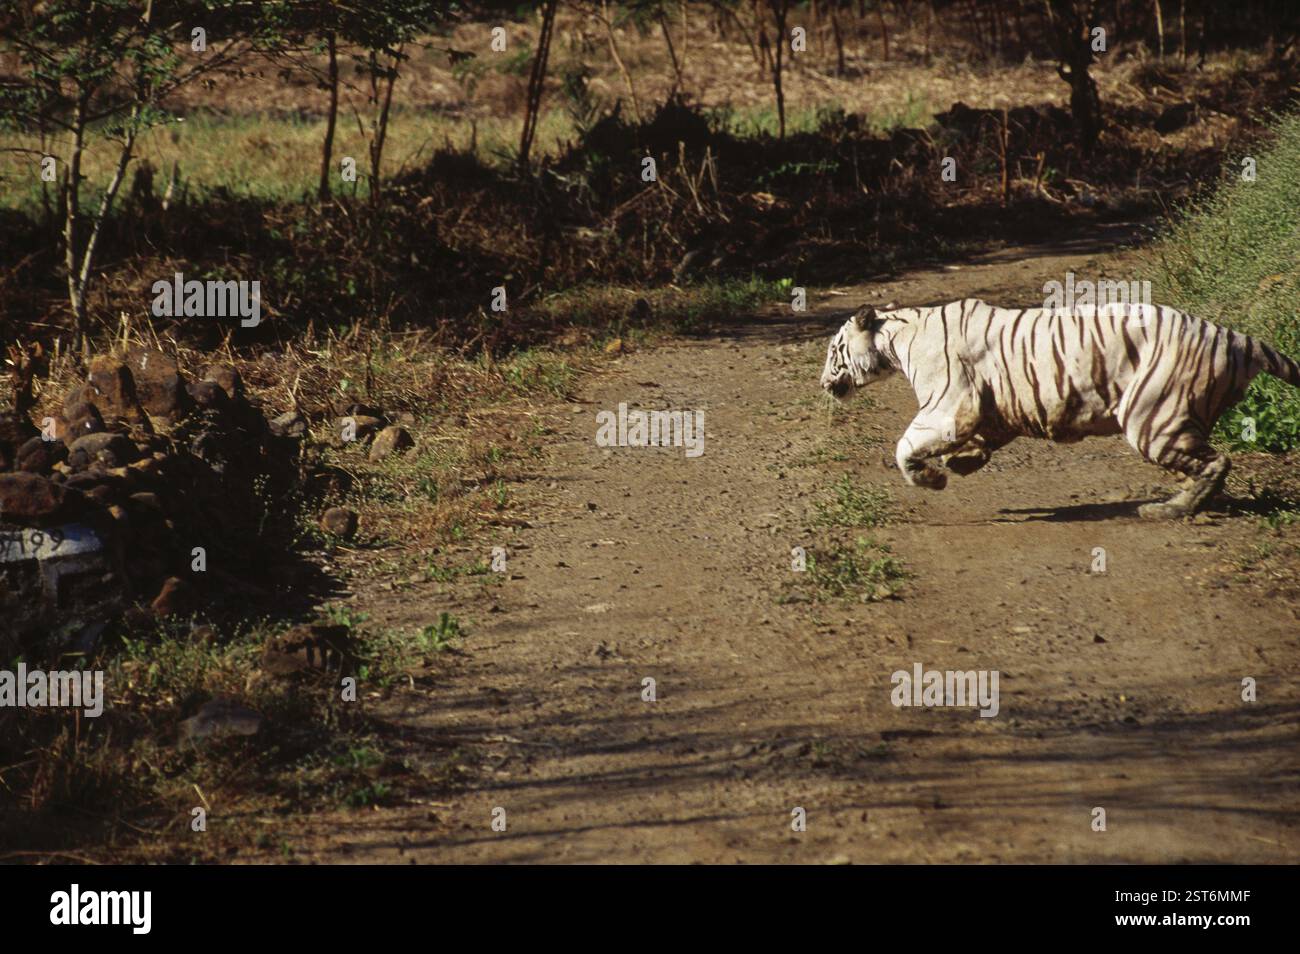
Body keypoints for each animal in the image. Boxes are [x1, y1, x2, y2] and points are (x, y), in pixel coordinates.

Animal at [819, 298, 1300, 518]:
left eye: (833, 351)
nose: (823, 383)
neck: (895, 339)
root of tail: (1234, 337)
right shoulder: (991, 409)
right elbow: (980, 440)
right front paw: (963, 461)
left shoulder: (950, 405)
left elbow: (904, 448)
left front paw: (933, 478)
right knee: (1202, 462)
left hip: (1152, 418)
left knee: (1217, 461)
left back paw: (1169, 509)